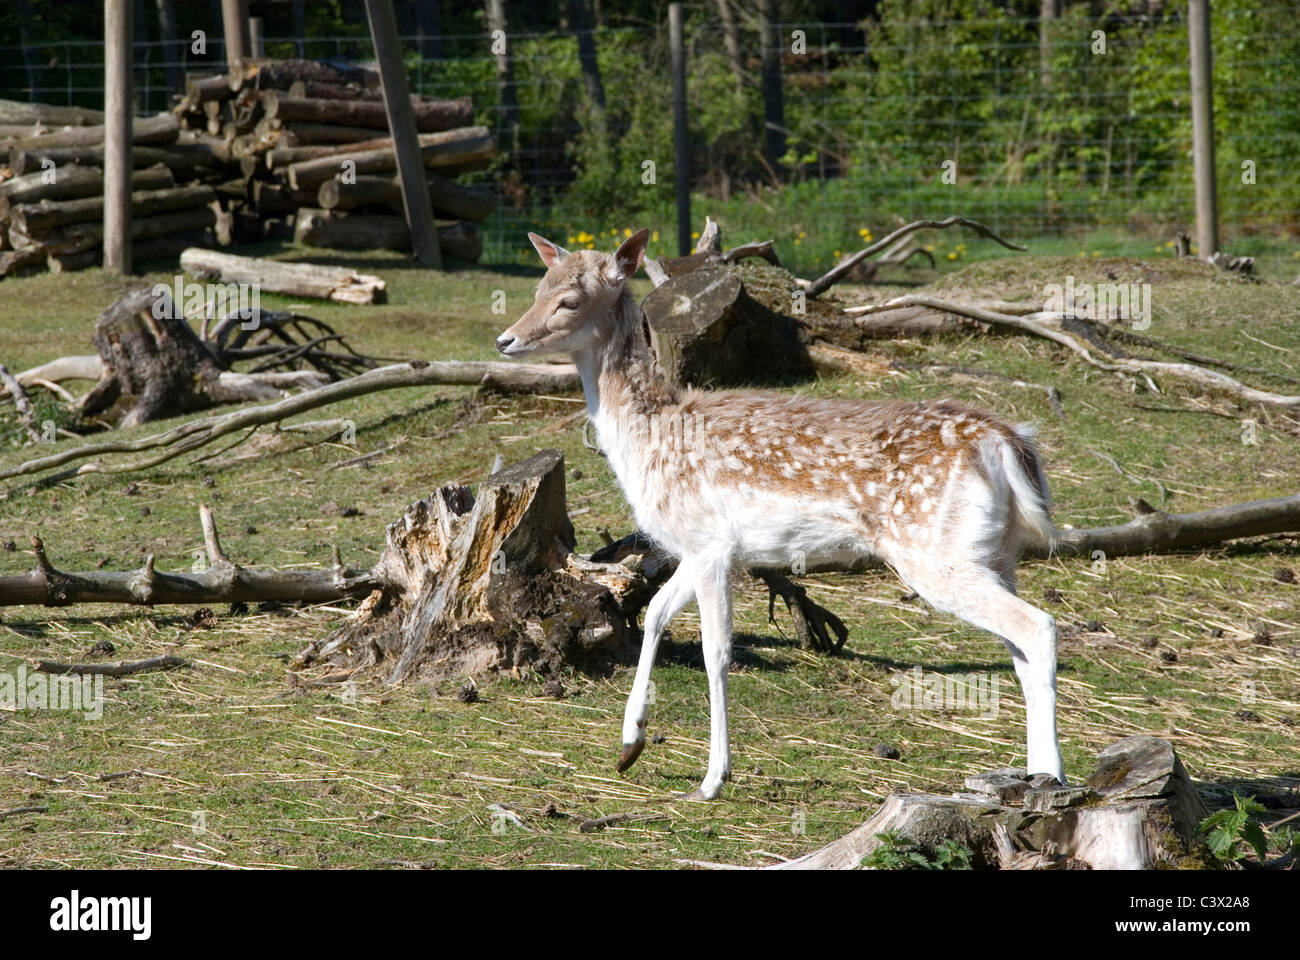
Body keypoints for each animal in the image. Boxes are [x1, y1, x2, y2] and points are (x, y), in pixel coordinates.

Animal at [496, 228, 1066, 801]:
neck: (647, 441)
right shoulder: (700, 547)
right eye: (539, 287)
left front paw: (712, 779)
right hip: (997, 552)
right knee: (1018, 649)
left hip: (935, 550)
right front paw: (629, 744)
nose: (506, 340)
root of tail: (1009, 444)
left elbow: (716, 650)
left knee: (1037, 626)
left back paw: (1053, 775)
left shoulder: (709, 541)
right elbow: (655, 612)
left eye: (569, 301)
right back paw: (1036, 774)